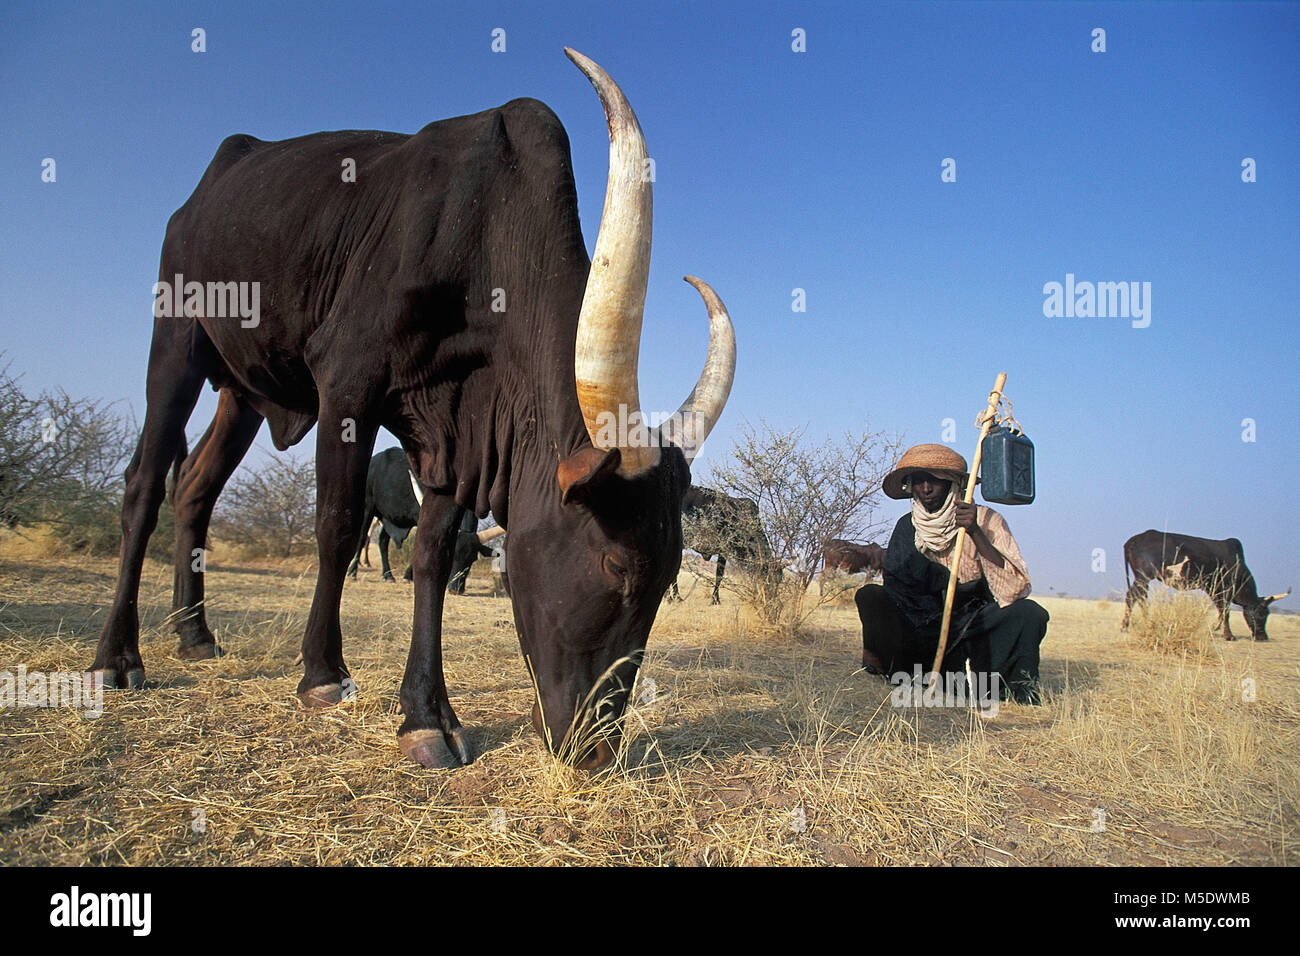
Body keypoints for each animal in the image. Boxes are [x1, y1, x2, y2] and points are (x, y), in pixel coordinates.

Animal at [89, 49, 736, 774]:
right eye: (616, 566)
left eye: (671, 573)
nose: (596, 752)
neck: (484, 229)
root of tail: (210, 183)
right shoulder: (348, 381)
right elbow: (337, 525)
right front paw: (322, 674)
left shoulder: (462, 435)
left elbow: (432, 552)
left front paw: (426, 715)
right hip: (177, 340)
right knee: (145, 484)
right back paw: (118, 657)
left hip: (242, 393)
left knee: (195, 486)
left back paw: (193, 634)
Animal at [1120, 530, 1291, 640]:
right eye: (1262, 614)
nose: (1263, 637)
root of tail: (1134, 539)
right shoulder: (1225, 589)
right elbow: (1225, 611)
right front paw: (1229, 635)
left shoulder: (1213, 590)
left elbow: (1221, 610)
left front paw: (1215, 629)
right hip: (1143, 577)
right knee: (1132, 597)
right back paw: (1126, 626)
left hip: (1143, 579)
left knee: (1140, 598)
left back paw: (1146, 623)